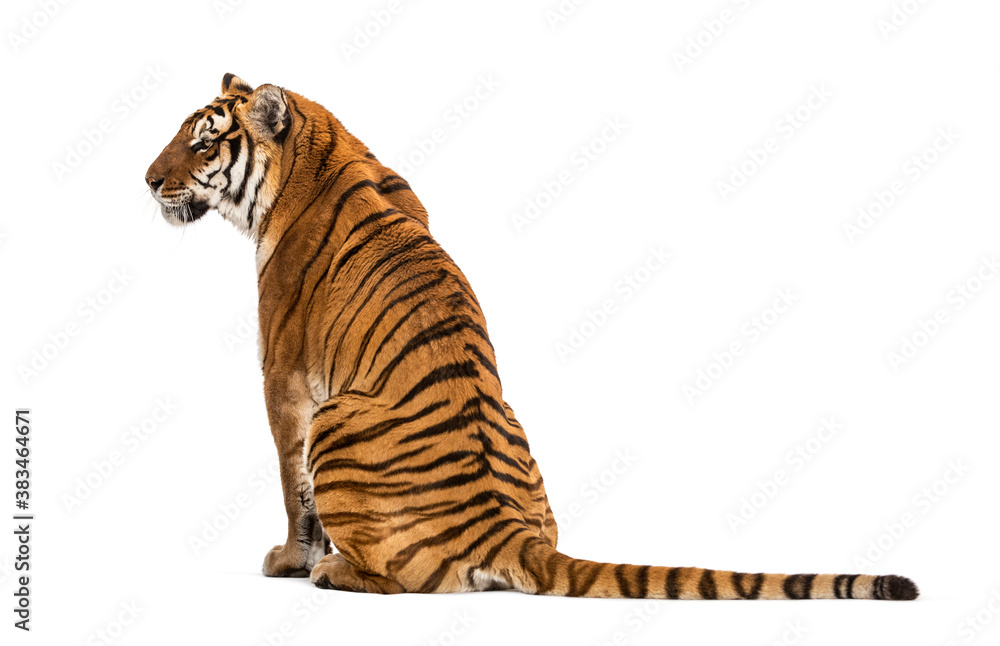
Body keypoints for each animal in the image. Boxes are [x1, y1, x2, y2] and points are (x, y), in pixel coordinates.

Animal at [144, 73, 919, 601]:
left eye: (202, 141)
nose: (149, 181)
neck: (319, 147)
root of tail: (503, 525)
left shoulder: (284, 378)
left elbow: (291, 486)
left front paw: (289, 560)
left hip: (337, 416)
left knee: (404, 579)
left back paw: (332, 571)